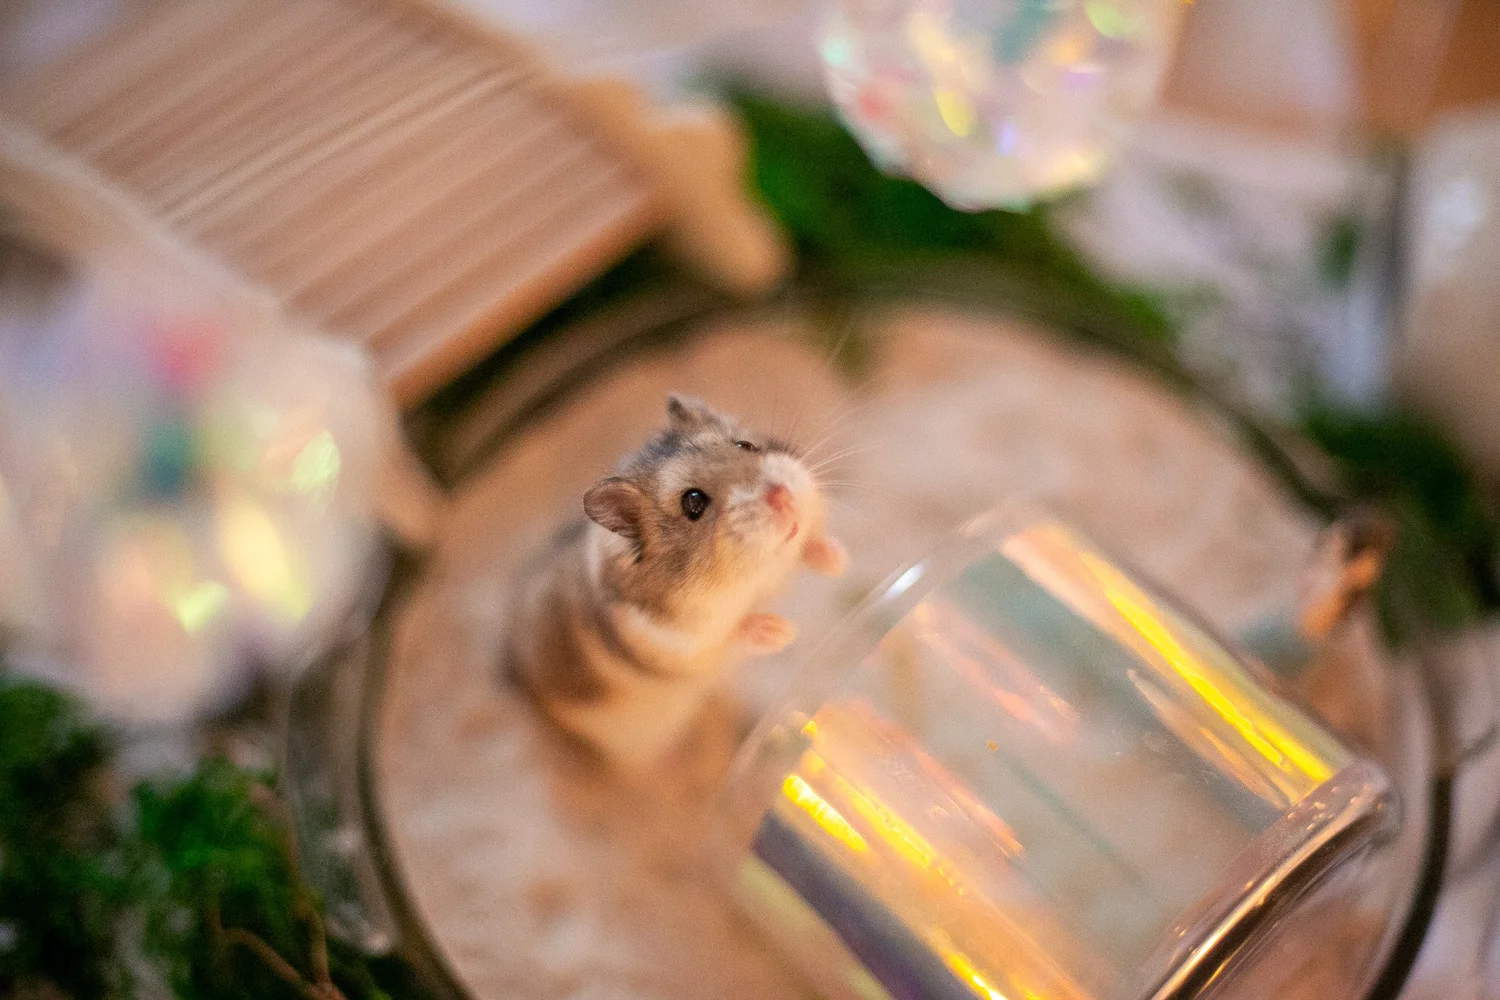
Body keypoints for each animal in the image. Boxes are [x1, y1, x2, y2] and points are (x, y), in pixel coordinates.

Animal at [503, 394, 847, 774]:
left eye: (745, 445)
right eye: (693, 502)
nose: (782, 496)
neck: (748, 574)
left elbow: (807, 547)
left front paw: (838, 561)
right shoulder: (683, 646)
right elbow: (732, 633)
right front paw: (782, 632)